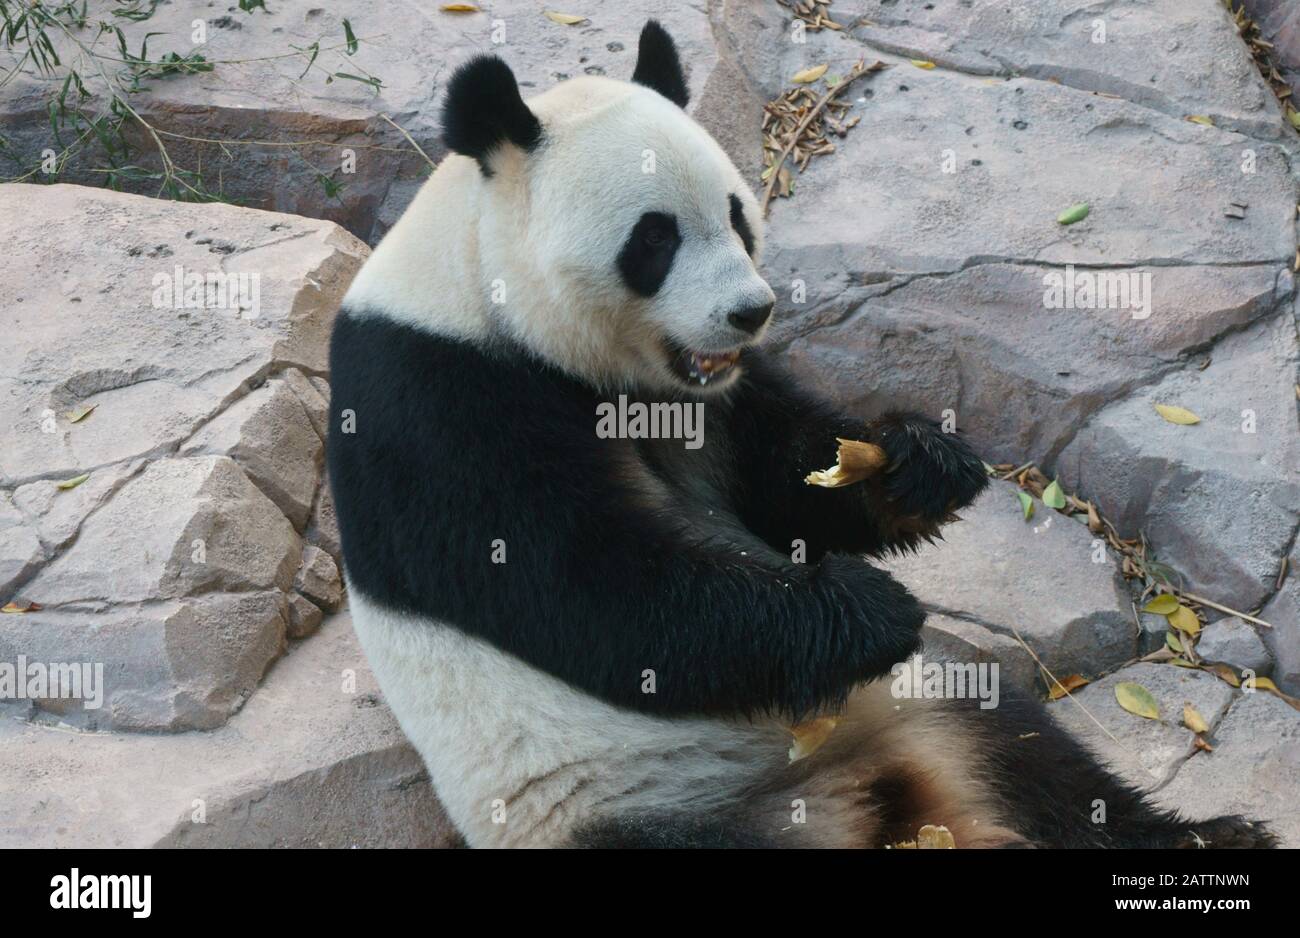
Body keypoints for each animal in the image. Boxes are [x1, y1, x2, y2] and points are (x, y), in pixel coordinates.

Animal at [327, 21, 1275, 849]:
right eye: (654, 238)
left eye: (737, 214)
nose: (752, 311)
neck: (485, 290)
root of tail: (855, 796)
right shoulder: (436, 399)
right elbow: (589, 581)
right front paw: (865, 607)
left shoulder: (710, 399)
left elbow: (784, 477)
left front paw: (917, 463)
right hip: (623, 813)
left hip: (915, 703)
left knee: (1023, 746)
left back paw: (1204, 836)